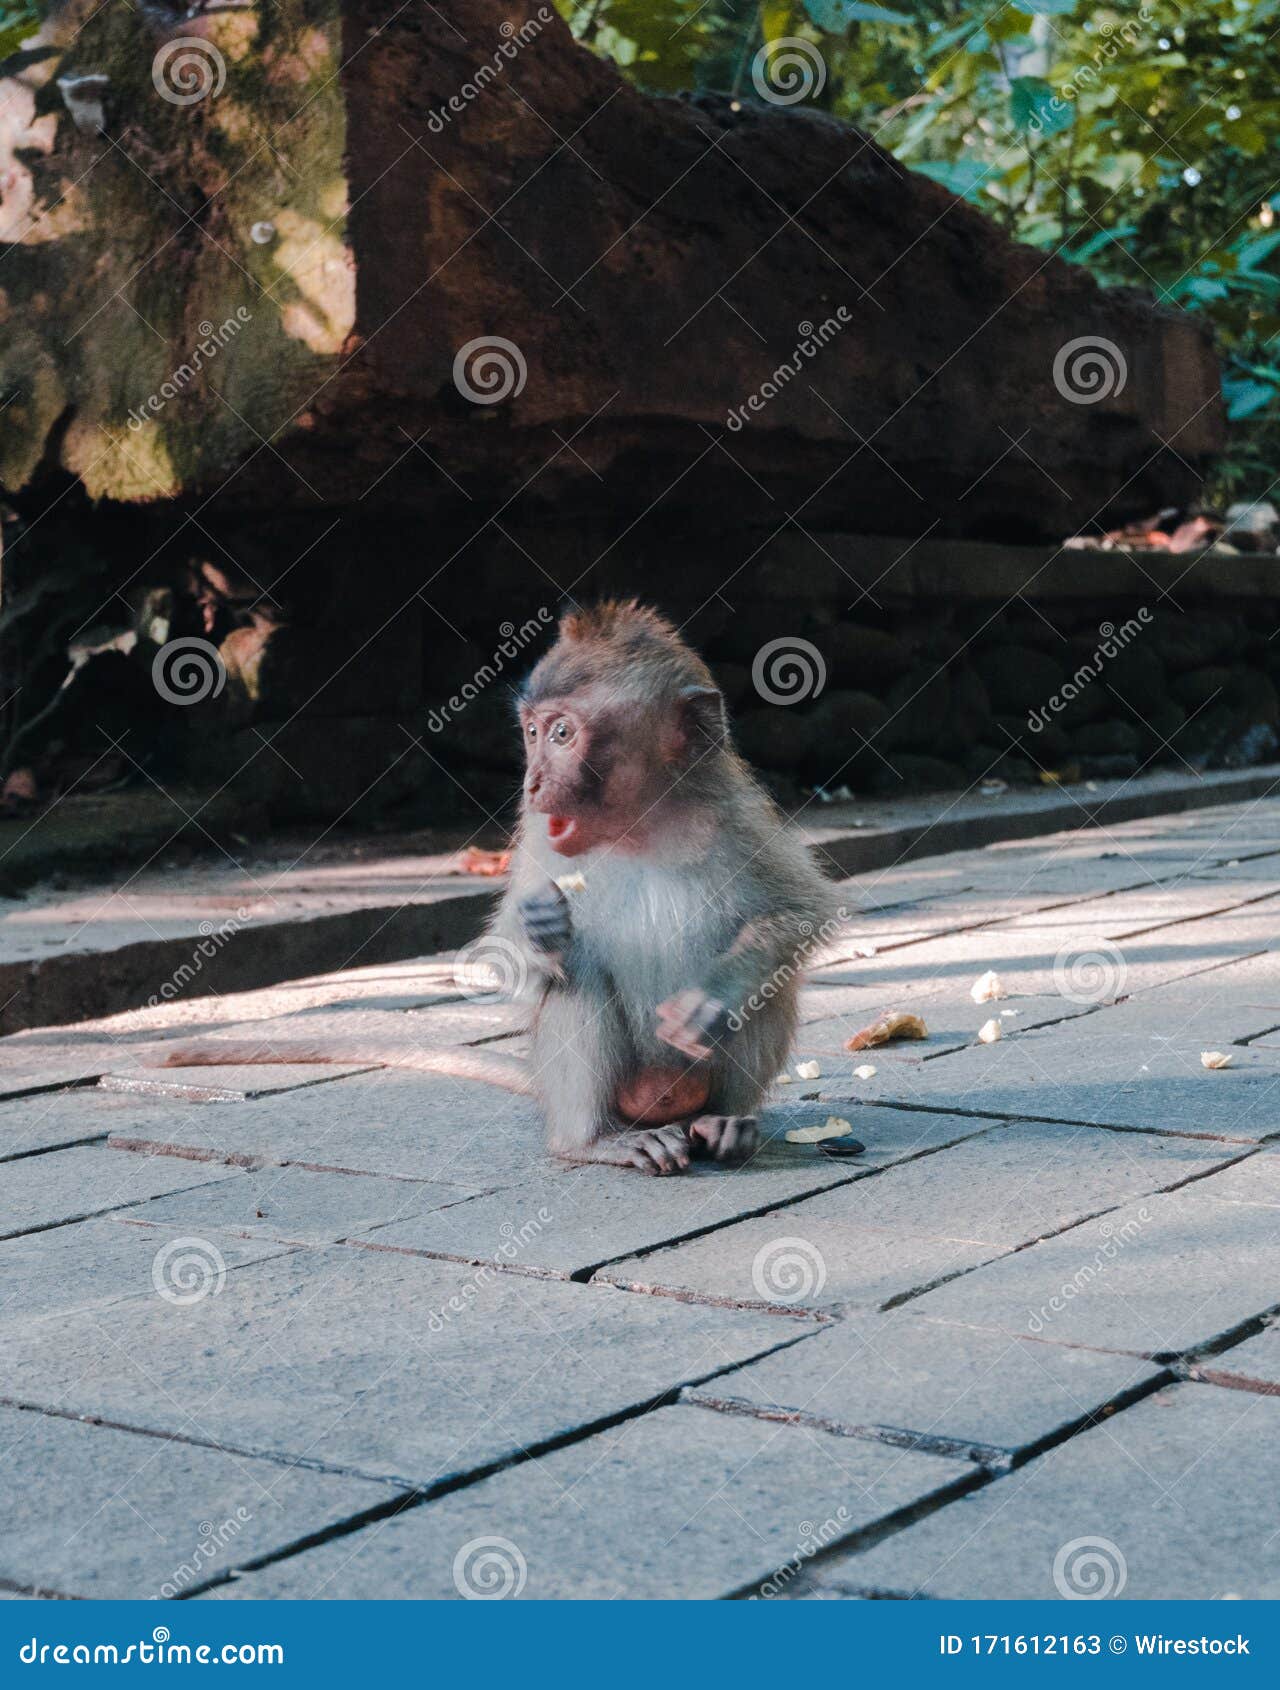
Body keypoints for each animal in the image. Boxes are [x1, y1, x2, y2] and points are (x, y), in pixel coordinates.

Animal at [152, 602, 835, 1176]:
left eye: (562, 734)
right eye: (531, 733)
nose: (532, 781)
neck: (640, 824)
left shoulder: (736, 813)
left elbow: (800, 915)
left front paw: (710, 1002)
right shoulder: (536, 837)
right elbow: (512, 955)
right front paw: (537, 934)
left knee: (770, 986)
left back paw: (723, 1124)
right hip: (616, 1097)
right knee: (577, 982)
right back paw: (594, 1141)